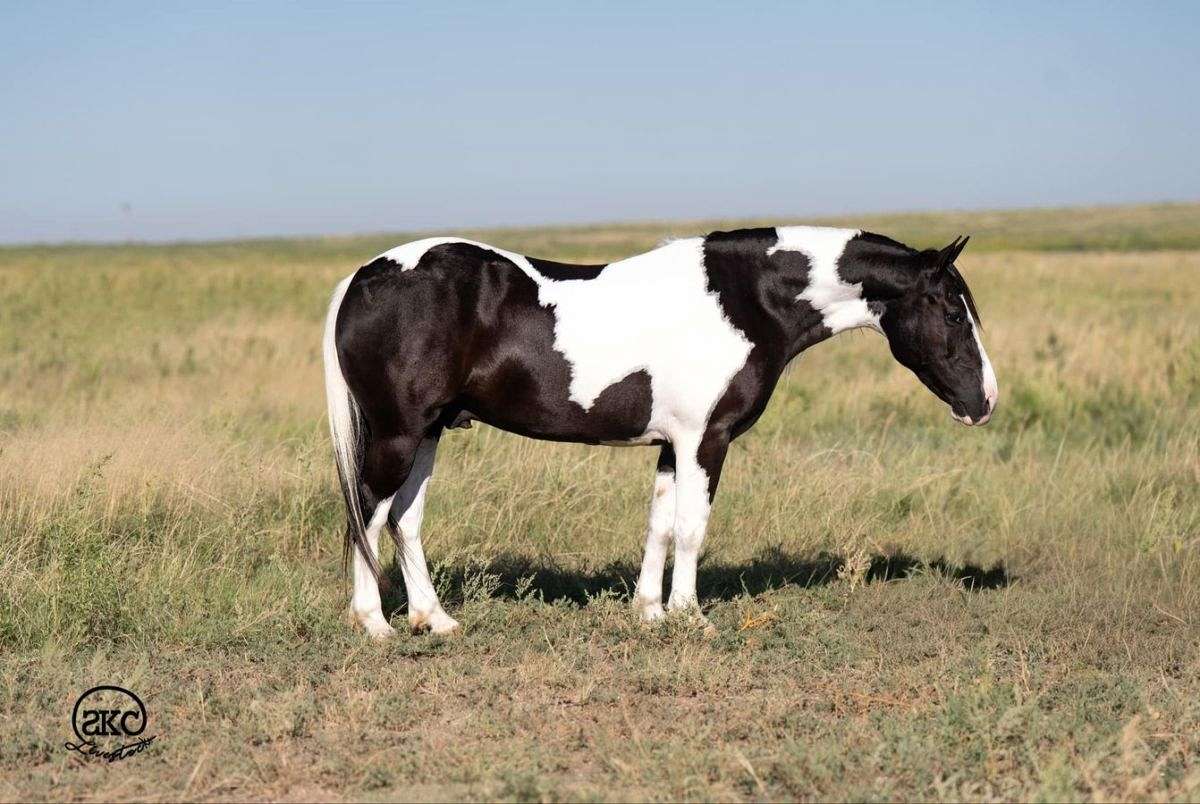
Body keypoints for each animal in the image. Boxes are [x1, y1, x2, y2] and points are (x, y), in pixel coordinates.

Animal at [323, 226, 997, 639]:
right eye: (951, 312)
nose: (984, 402)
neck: (745, 300)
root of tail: (363, 276)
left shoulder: (674, 445)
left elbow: (661, 525)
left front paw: (649, 612)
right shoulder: (706, 439)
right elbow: (693, 529)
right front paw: (691, 617)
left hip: (429, 433)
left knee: (404, 518)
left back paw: (434, 620)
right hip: (398, 433)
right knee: (367, 513)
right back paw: (375, 624)